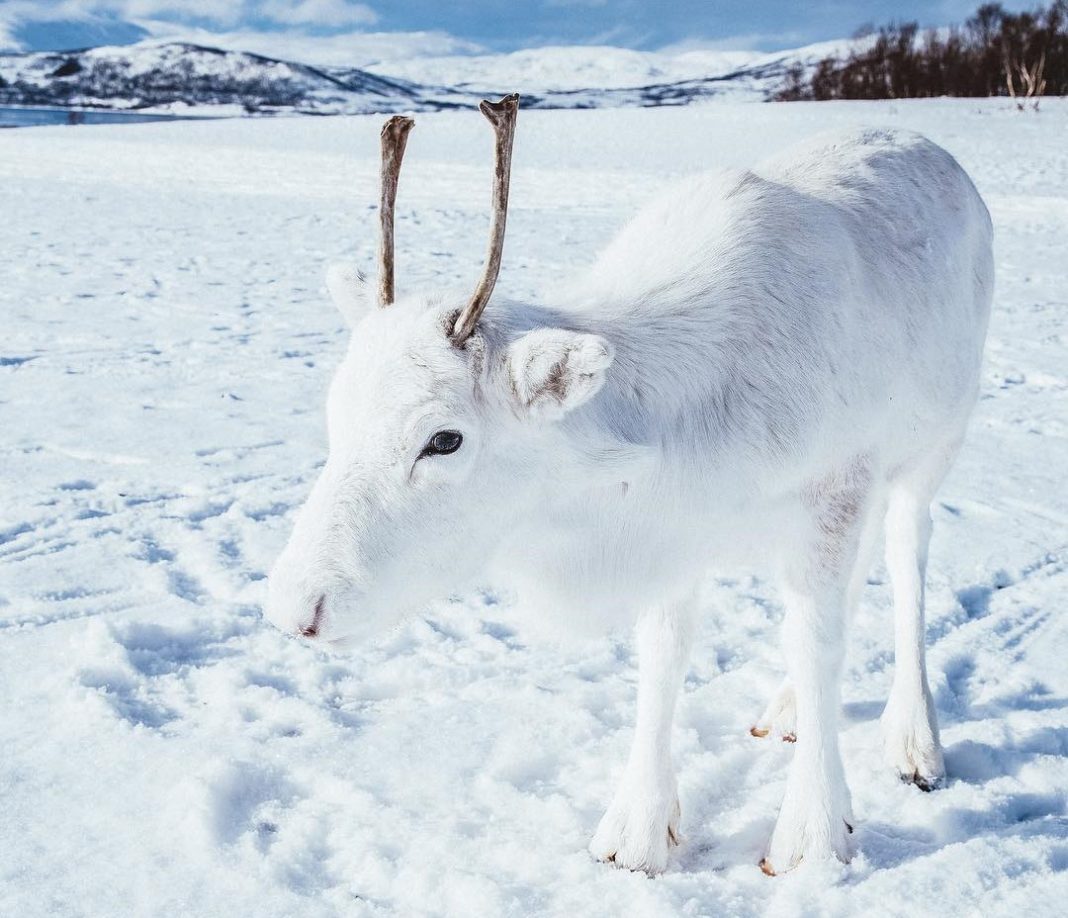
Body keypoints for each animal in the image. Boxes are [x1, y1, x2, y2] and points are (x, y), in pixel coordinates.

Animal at [265, 94, 993, 875]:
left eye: (444, 438)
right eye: (336, 412)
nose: (296, 608)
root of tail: (939, 152)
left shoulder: (833, 491)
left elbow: (815, 643)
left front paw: (813, 836)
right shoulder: (676, 535)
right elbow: (664, 656)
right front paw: (639, 829)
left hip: (933, 446)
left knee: (907, 556)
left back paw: (915, 740)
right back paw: (789, 710)